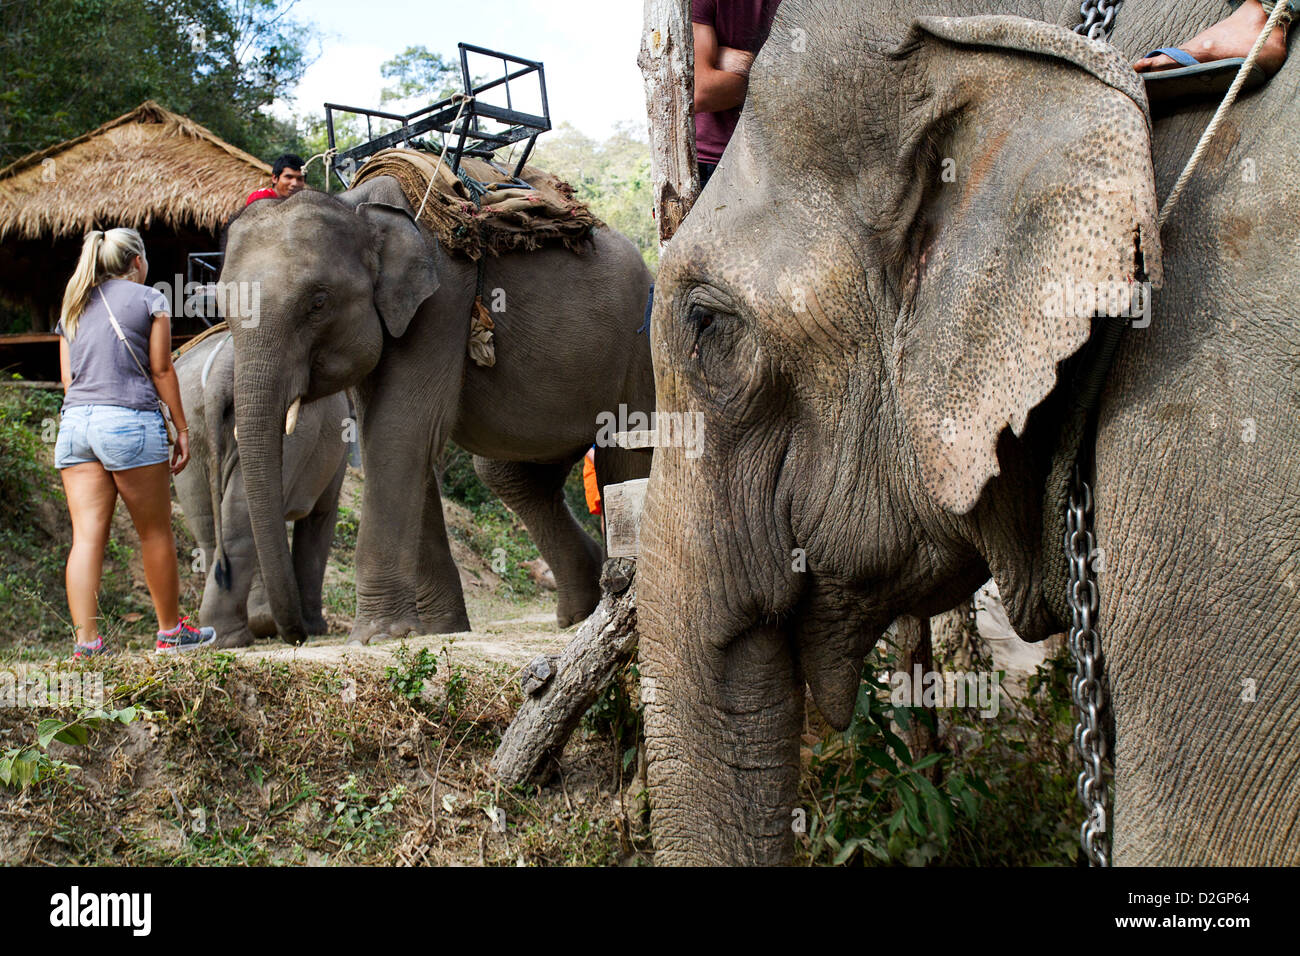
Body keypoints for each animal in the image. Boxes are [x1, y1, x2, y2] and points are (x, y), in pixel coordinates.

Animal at [173, 330, 349, 648]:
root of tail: (218, 372)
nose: (299, 633)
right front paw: (317, 627)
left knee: (210, 525)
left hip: (190, 430)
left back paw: (229, 633)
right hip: (291, 431)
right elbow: (320, 517)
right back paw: (239, 636)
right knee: (240, 521)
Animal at [218, 175, 653, 646]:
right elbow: (392, 439)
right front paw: (437, 630)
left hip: (640, 344)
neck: (356, 207)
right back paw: (580, 609)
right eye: (221, 309)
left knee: (626, 452)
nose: (296, 635)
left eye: (318, 302)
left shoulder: (442, 302)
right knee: (510, 474)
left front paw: (375, 637)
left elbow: (399, 432)